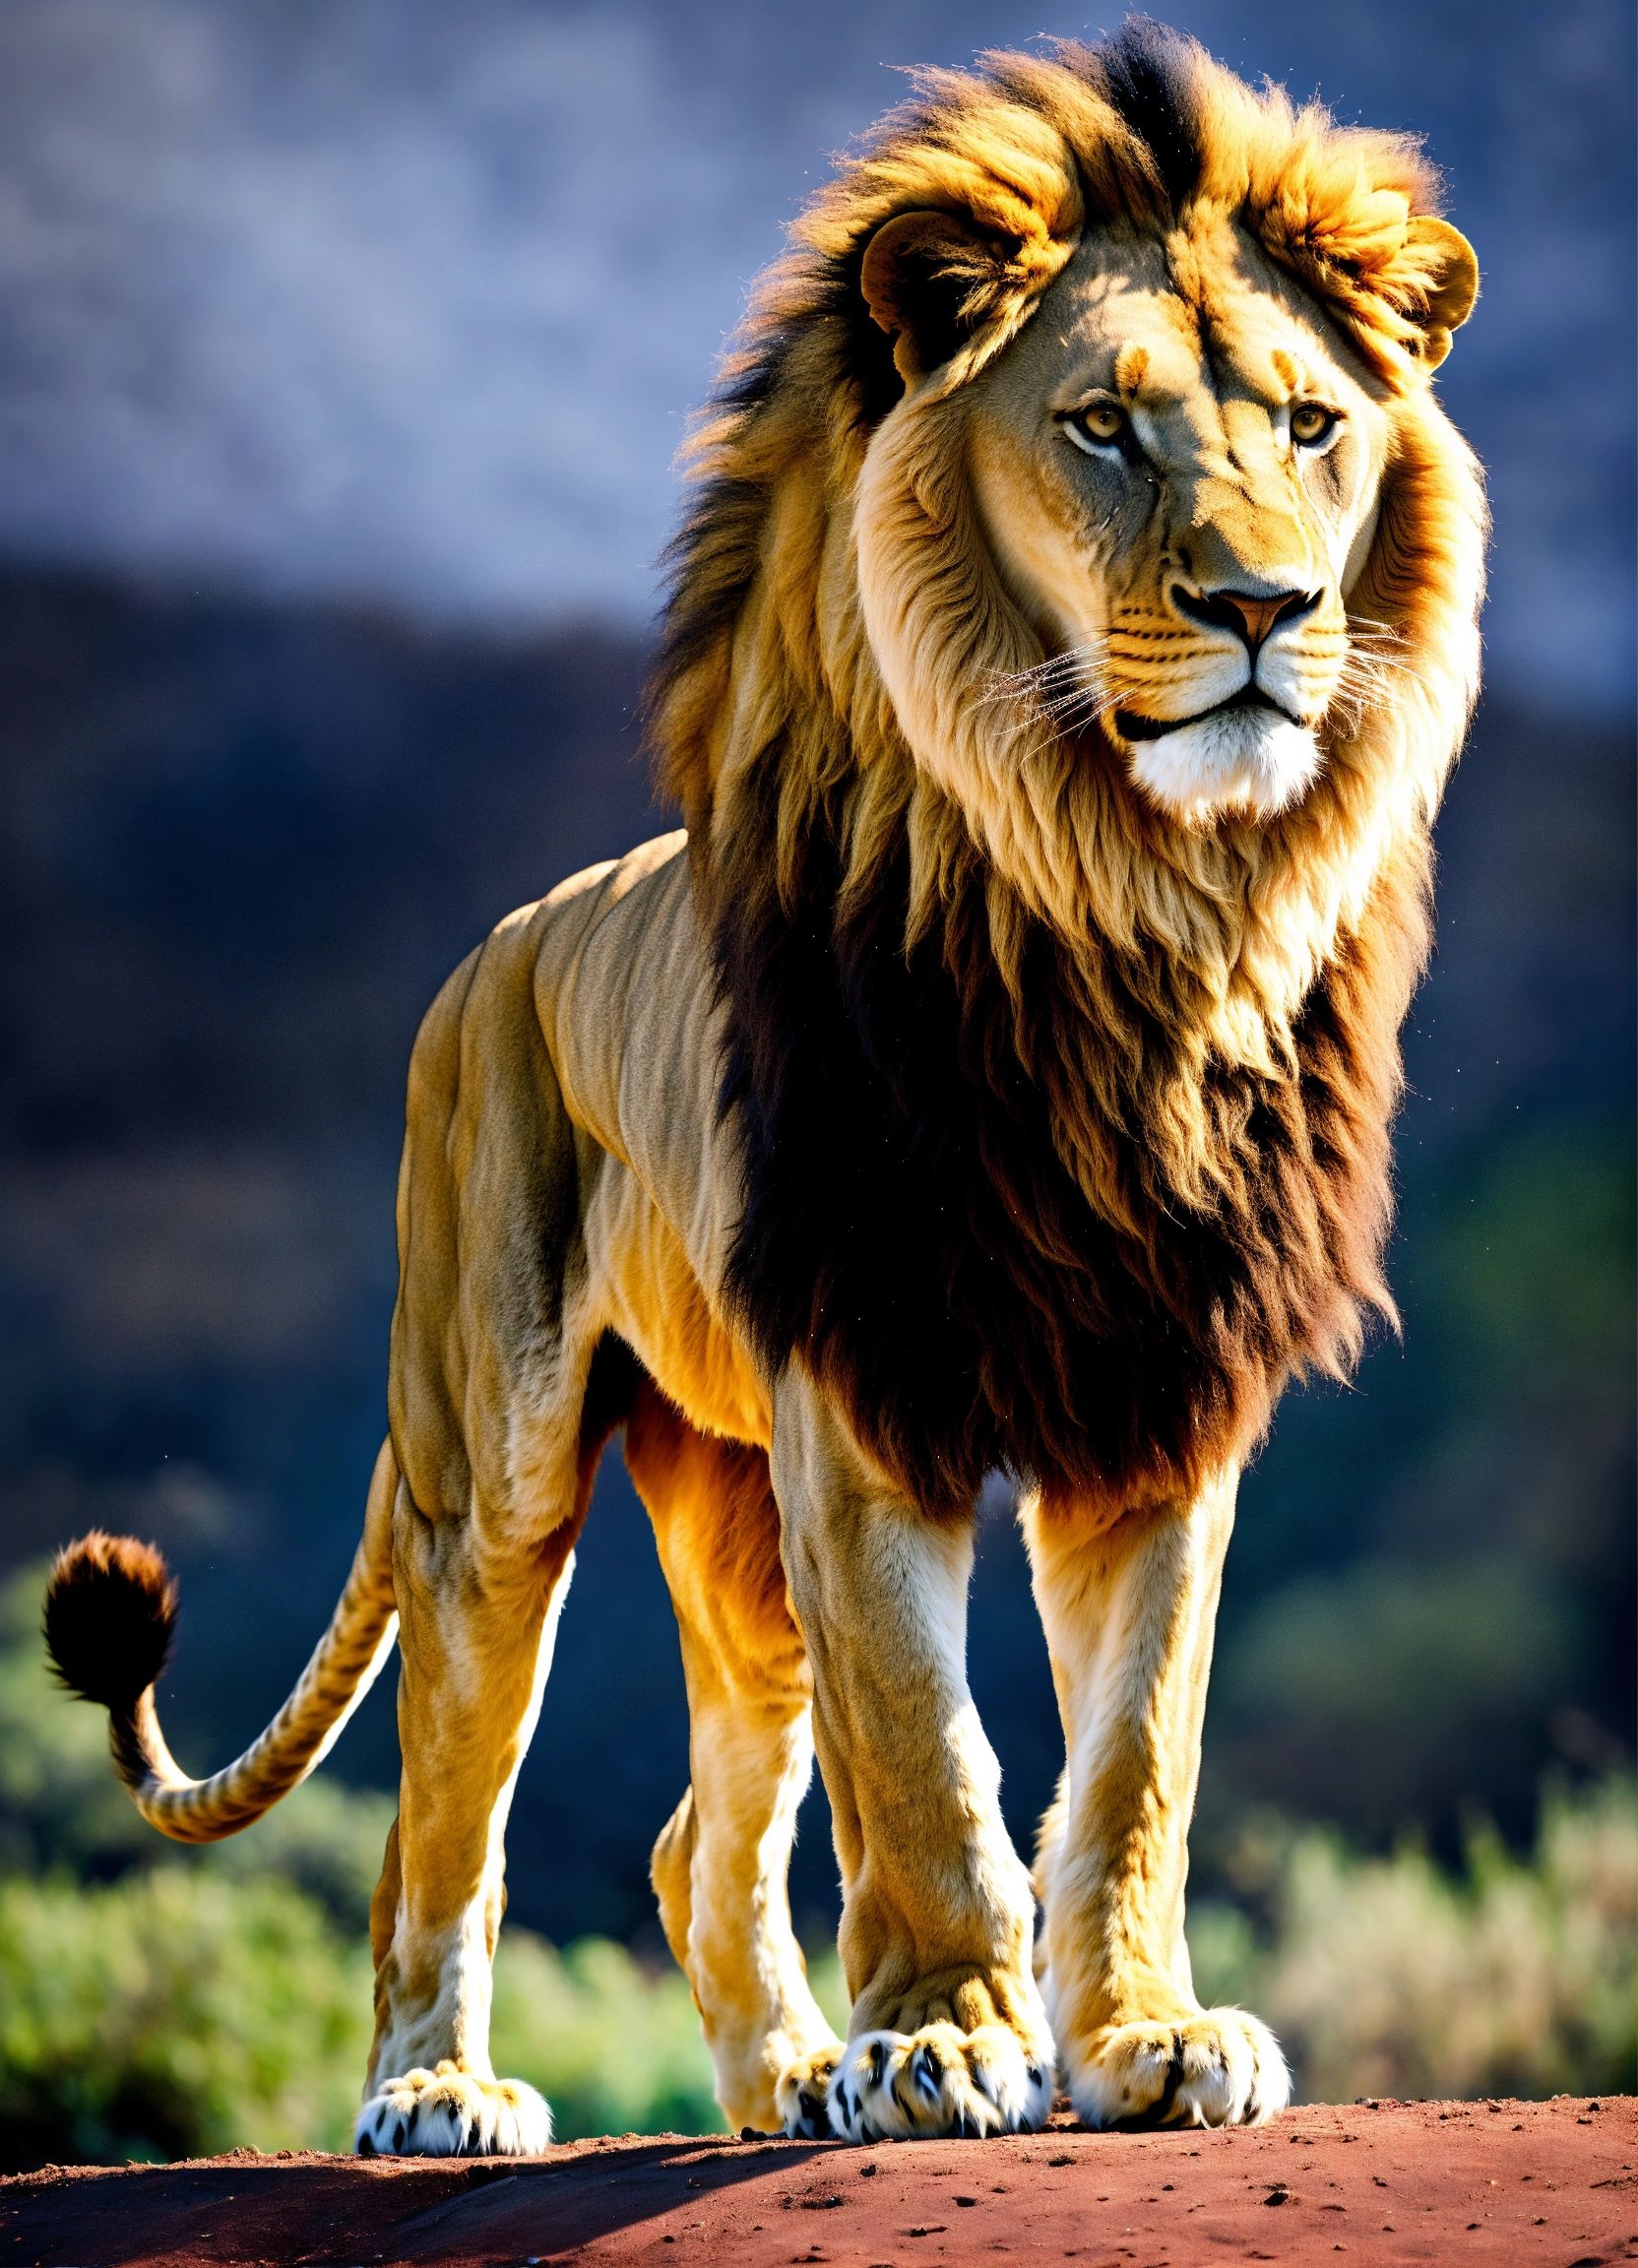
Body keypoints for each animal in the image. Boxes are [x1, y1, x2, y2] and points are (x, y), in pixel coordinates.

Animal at [44, 24, 1484, 2149]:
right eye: (1101, 428)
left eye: (1309, 426)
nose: (1265, 610)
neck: (1121, 899)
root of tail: (499, 944)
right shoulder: (860, 1378)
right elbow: (929, 1754)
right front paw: (945, 2039)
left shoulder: (1160, 1389)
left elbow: (1136, 1752)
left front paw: (1142, 2039)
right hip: (494, 1482)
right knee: (432, 1832)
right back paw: (443, 2091)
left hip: (725, 1519)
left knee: (686, 1842)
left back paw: (789, 2077)